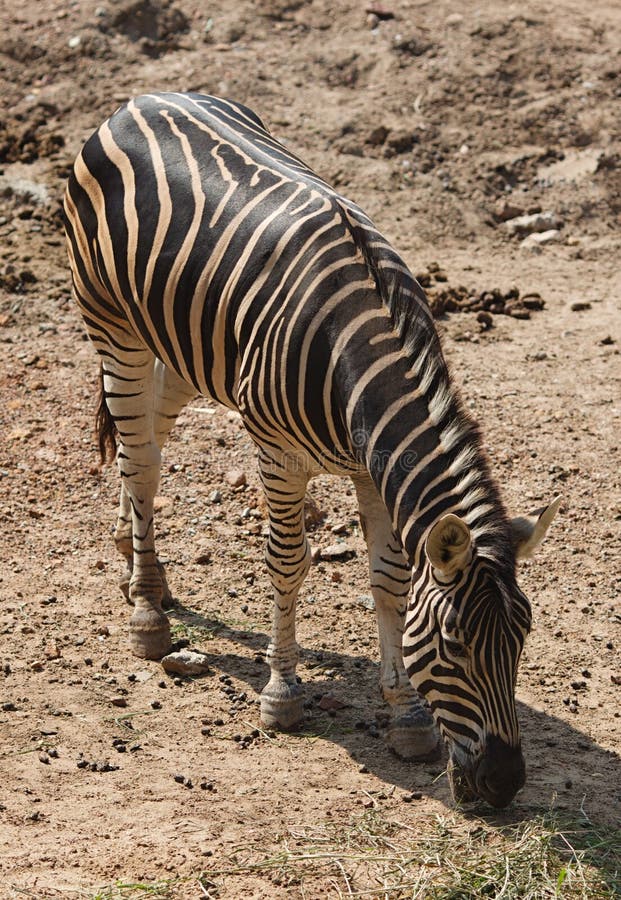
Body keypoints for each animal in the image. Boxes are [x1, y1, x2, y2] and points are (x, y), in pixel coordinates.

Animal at [63, 92, 560, 808]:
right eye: (454, 646)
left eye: (522, 638)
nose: (503, 785)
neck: (355, 360)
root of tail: (143, 99)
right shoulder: (276, 452)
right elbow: (287, 564)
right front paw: (282, 693)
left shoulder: (374, 470)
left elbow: (389, 580)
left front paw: (406, 716)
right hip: (114, 328)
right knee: (141, 459)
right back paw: (148, 611)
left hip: (187, 347)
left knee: (149, 434)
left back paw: (133, 559)